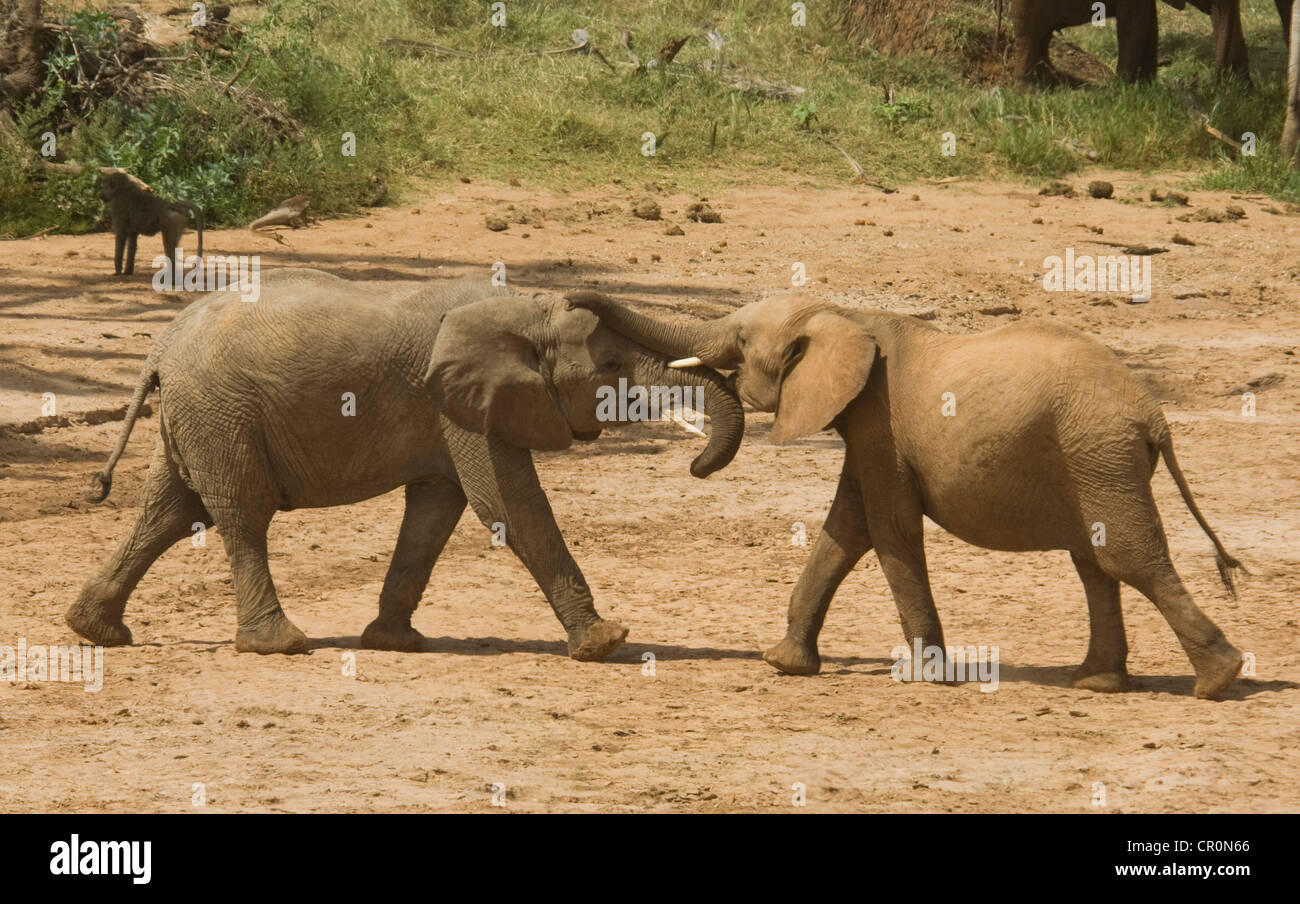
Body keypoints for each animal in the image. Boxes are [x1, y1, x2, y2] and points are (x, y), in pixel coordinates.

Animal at [65, 269, 744, 660]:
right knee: (240, 513)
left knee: (169, 512)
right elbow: (510, 506)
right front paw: (606, 643)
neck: (516, 311)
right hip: (220, 410)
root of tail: (161, 345)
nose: (696, 468)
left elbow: (436, 512)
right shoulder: (463, 406)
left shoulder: (450, 412)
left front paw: (396, 643)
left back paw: (95, 632)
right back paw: (279, 645)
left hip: (197, 413)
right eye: (610, 366)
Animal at [568, 291, 1246, 700]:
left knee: (1129, 559)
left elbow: (888, 528)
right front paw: (784, 663)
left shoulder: (879, 419)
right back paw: (1098, 684)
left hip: (1099, 455)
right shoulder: (865, 424)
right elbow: (846, 531)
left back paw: (1220, 680)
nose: (574, 301)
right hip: (1093, 460)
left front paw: (924, 677)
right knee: (1095, 563)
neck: (841, 312)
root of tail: (1153, 415)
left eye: (738, 338)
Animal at [1013, 0, 1295, 85]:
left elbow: (1148, 24)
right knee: (1030, 34)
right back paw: (1029, 89)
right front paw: (1124, 88)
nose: (1215, 82)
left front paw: (1146, 86)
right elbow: (1136, 24)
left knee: (1039, 37)